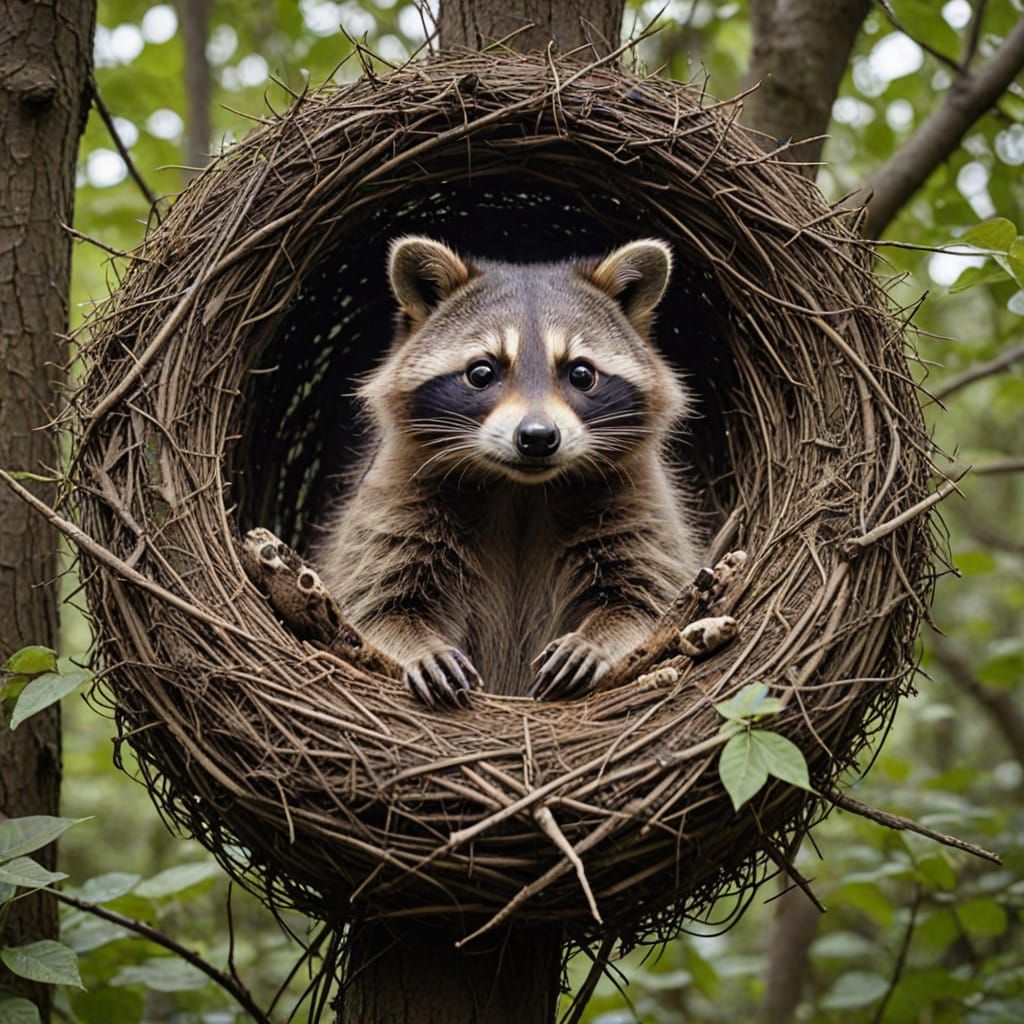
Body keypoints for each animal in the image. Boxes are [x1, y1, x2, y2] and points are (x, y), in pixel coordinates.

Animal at [314, 236, 702, 706]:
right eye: (482, 372)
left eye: (581, 373)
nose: (537, 437)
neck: (520, 489)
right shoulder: (395, 497)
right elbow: (373, 603)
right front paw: (420, 649)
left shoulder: (637, 499)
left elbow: (649, 597)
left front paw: (594, 642)